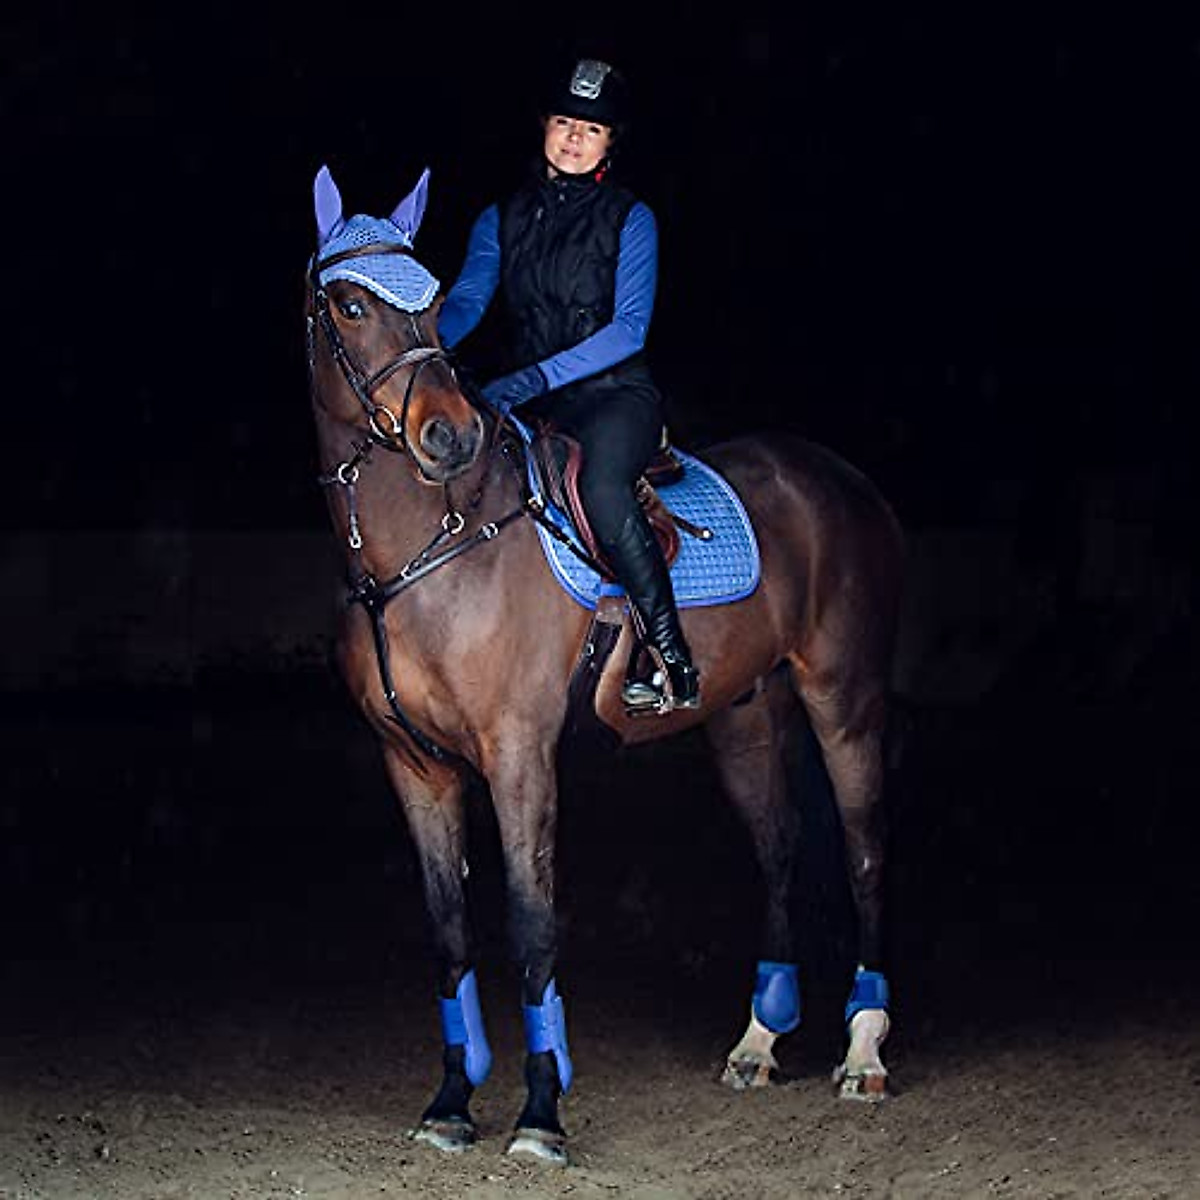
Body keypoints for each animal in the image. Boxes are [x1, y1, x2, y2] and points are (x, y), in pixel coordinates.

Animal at [304, 164, 906, 1165]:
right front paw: (450, 1103)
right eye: (349, 304)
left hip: (843, 700)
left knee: (864, 852)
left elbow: (533, 924)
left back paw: (863, 1053)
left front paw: (542, 1115)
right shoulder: (416, 767)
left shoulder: (518, 757)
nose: (450, 436)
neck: (431, 545)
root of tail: (844, 479)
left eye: (431, 299)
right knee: (780, 848)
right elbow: (448, 931)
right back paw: (758, 1040)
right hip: (744, 716)